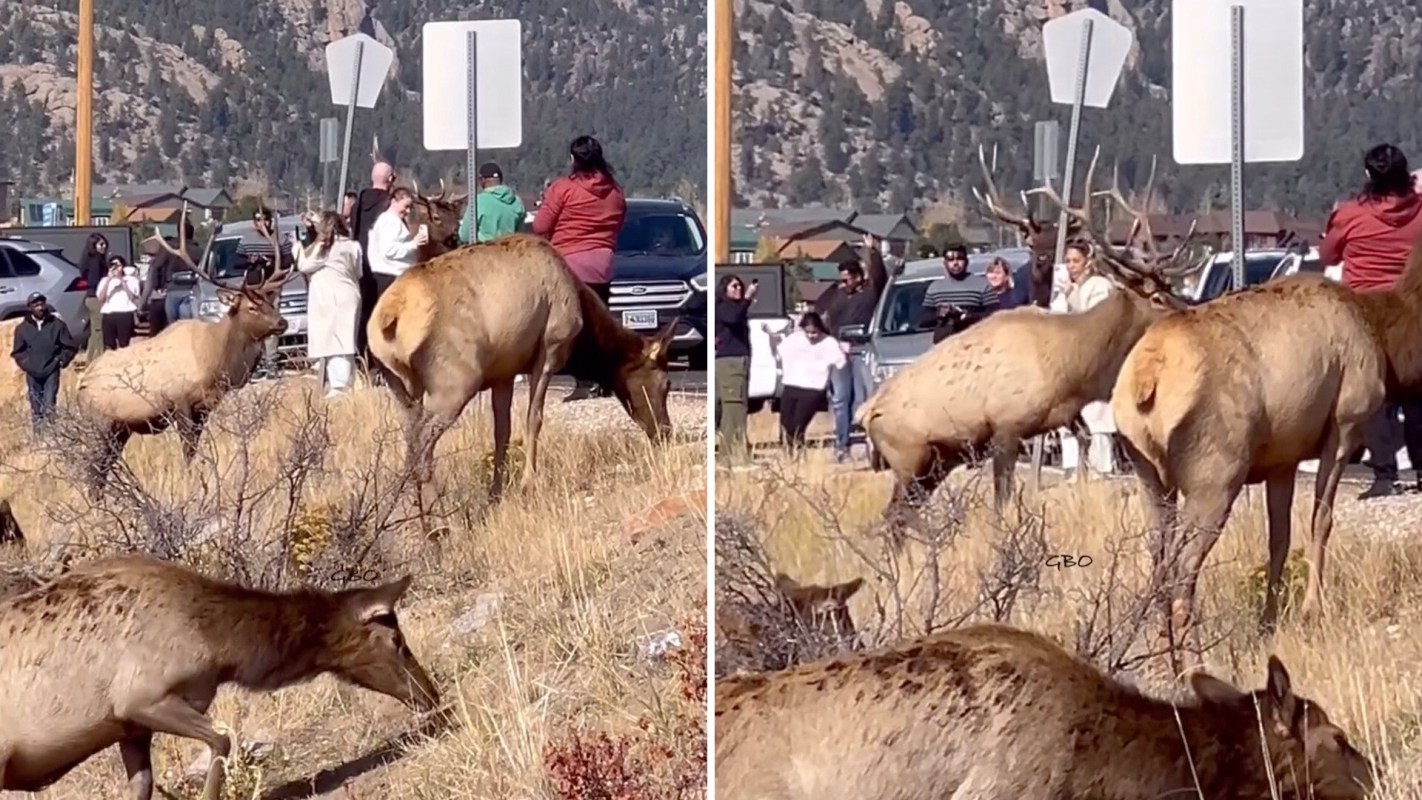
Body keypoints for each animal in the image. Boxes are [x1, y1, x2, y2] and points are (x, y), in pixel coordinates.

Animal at [0, 554, 446, 800]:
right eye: (396, 640)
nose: (432, 697)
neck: (222, 646)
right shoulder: (141, 697)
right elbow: (222, 738)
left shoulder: (128, 725)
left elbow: (143, 784)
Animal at [74, 205, 300, 495]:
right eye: (251, 307)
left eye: (271, 303)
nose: (282, 322)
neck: (214, 360)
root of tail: (80, 384)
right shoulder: (180, 402)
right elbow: (188, 452)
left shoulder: (204, 408)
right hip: (98, 421)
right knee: (91, 467)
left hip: (119, 428)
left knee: (100, 469)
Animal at [365, 233, 677, 517]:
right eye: (665, 383)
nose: (665, 432)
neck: (585, 332)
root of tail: (389, 315)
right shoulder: (551, 348)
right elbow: (533, 419)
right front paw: (528, 485)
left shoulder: (503, 372)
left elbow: (502, 431)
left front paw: (495, 495)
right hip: (454, 383)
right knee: (422, 447)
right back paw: (435, 522)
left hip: (399, 385)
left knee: (410, 442)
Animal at [856, 149, 1203, 530]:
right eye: (1156, 297)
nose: (1193, 310)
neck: (1072, 368)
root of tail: (865, 414)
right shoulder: (1005, 427)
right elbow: (1003, 502)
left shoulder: (1056, 421)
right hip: (909, 457)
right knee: (893, 516)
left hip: (934, 461)